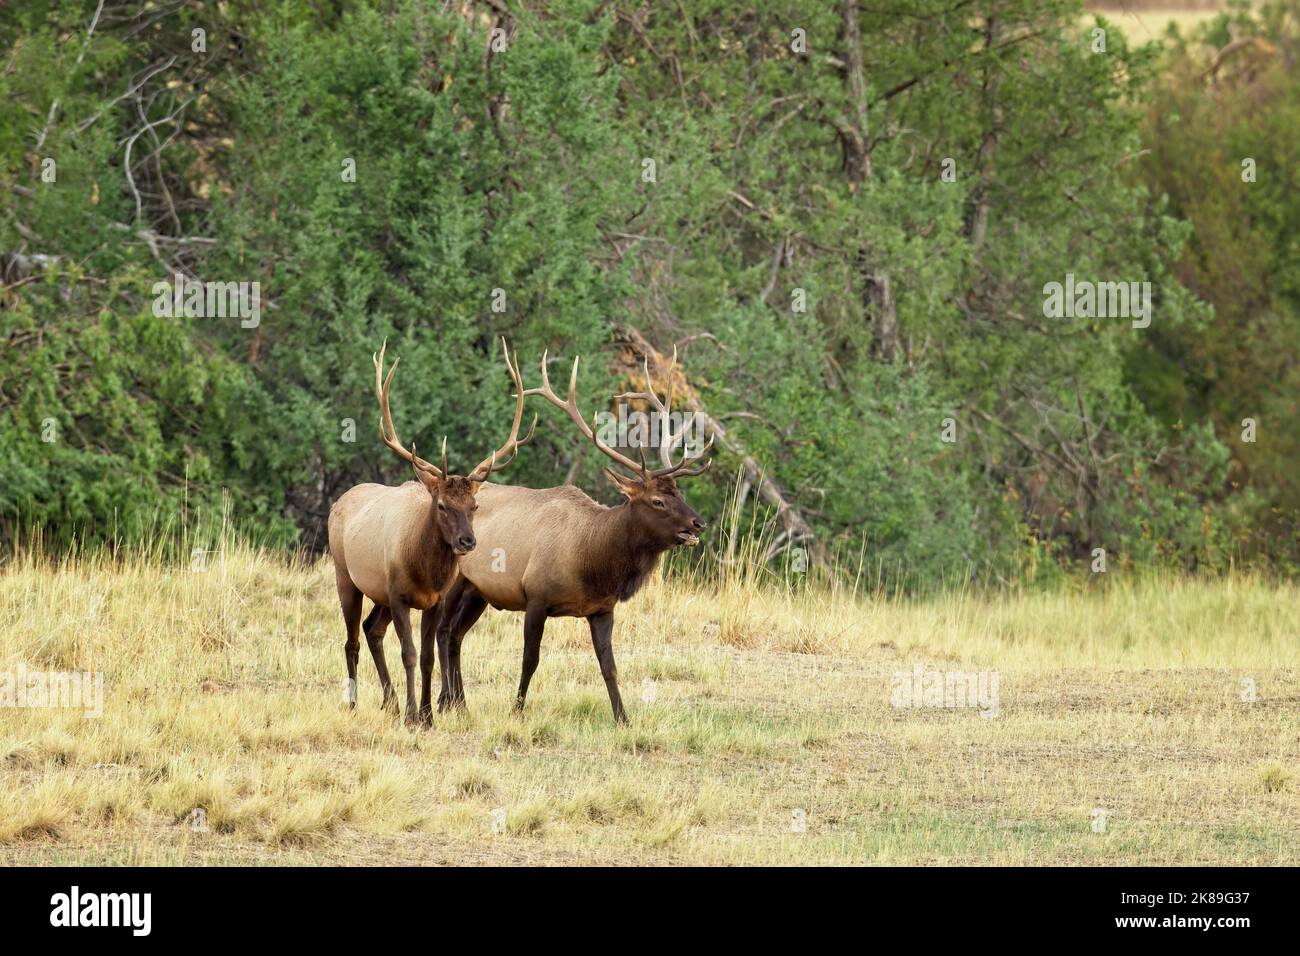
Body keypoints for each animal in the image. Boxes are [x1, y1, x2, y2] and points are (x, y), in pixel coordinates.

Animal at [327, 339, 534, 725]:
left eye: (474, 506)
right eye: (441, 505)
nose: (467, 541)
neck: (424, 571)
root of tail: (339, 501)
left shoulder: (433, 600)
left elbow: (425, 657)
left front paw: (425, 715)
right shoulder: (397, 593)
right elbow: (409, 653)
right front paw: (412, 716)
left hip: (378, 594)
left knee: (371, 629)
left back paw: (390, 701)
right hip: (345, 575)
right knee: (352, 639)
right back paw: (354, 704)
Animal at [430, 349, 712, 723]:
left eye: (679, 492)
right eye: (657, 501)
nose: (698, 524)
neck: (591, 563)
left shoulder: (602, 608)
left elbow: (609, 666)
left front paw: (623, 718)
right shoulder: (535, 596)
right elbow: (530, 660)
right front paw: (517, 710)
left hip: (480, 590)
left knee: (456, 636)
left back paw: (461, 703)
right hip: (456, 580)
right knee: (444, 631)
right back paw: (446, 699)